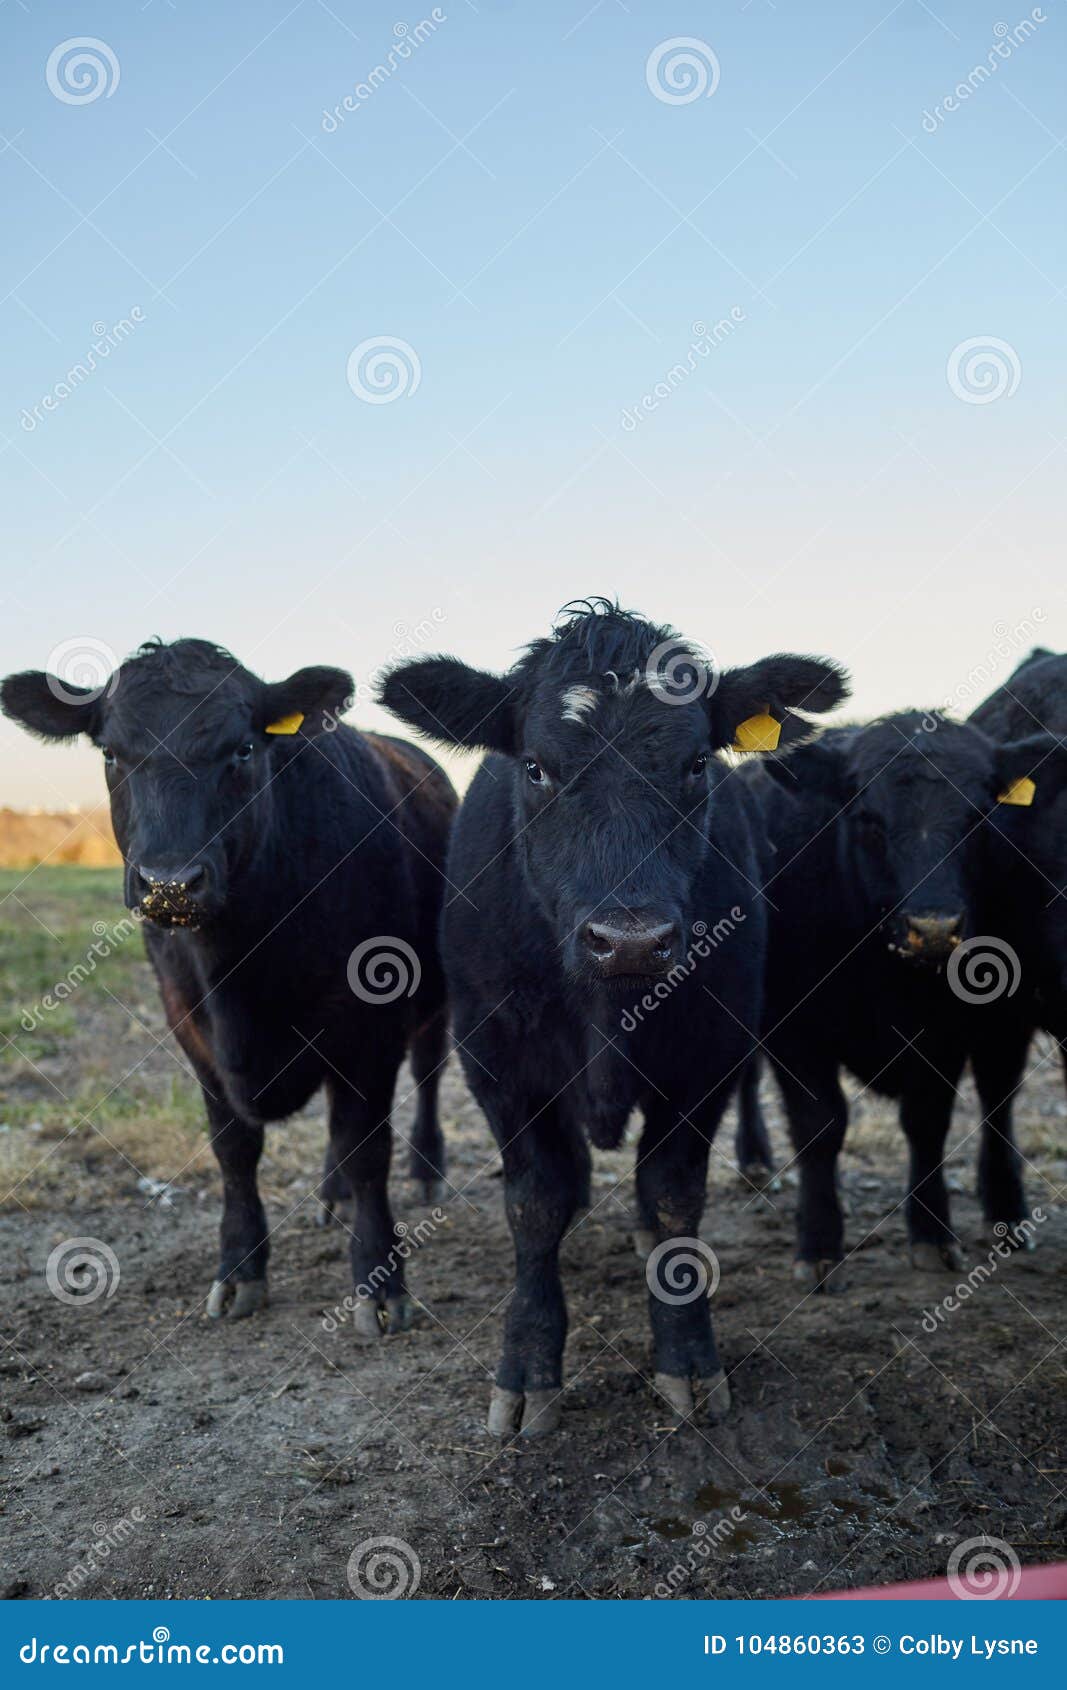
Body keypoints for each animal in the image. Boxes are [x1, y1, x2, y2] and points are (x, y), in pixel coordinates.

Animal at [2, 639, 456, 1331]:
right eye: (110, 752)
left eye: (242, 749)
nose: (168, 883)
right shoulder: (189, 1020)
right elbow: (234, 1147)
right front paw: (241, 1267)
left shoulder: (372, 1023)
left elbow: (368, 1146)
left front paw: (381, 1280)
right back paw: (332, 1196)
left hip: (435, 998)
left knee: (427, 1071)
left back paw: (425, 1168)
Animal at [379, 599, 849, 1437]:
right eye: (536, 767)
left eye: (695, 765)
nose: (630, 939)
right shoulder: (495, 1058)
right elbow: (534, 1204)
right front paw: (527, 1369)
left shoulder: (707, 1055)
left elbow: (671, 1197)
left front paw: (688, 1358)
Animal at [738, 710, 1067, 1287]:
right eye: (868, 817)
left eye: (978, 817)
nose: (933, 928)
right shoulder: (793, 1027)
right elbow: (820, 1125)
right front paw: (819, 1243)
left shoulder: (947, 1032)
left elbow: (926, 1122)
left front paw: (932, 1234)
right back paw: (753, 1160)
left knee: (998, 1100)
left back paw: (1007, 1213)